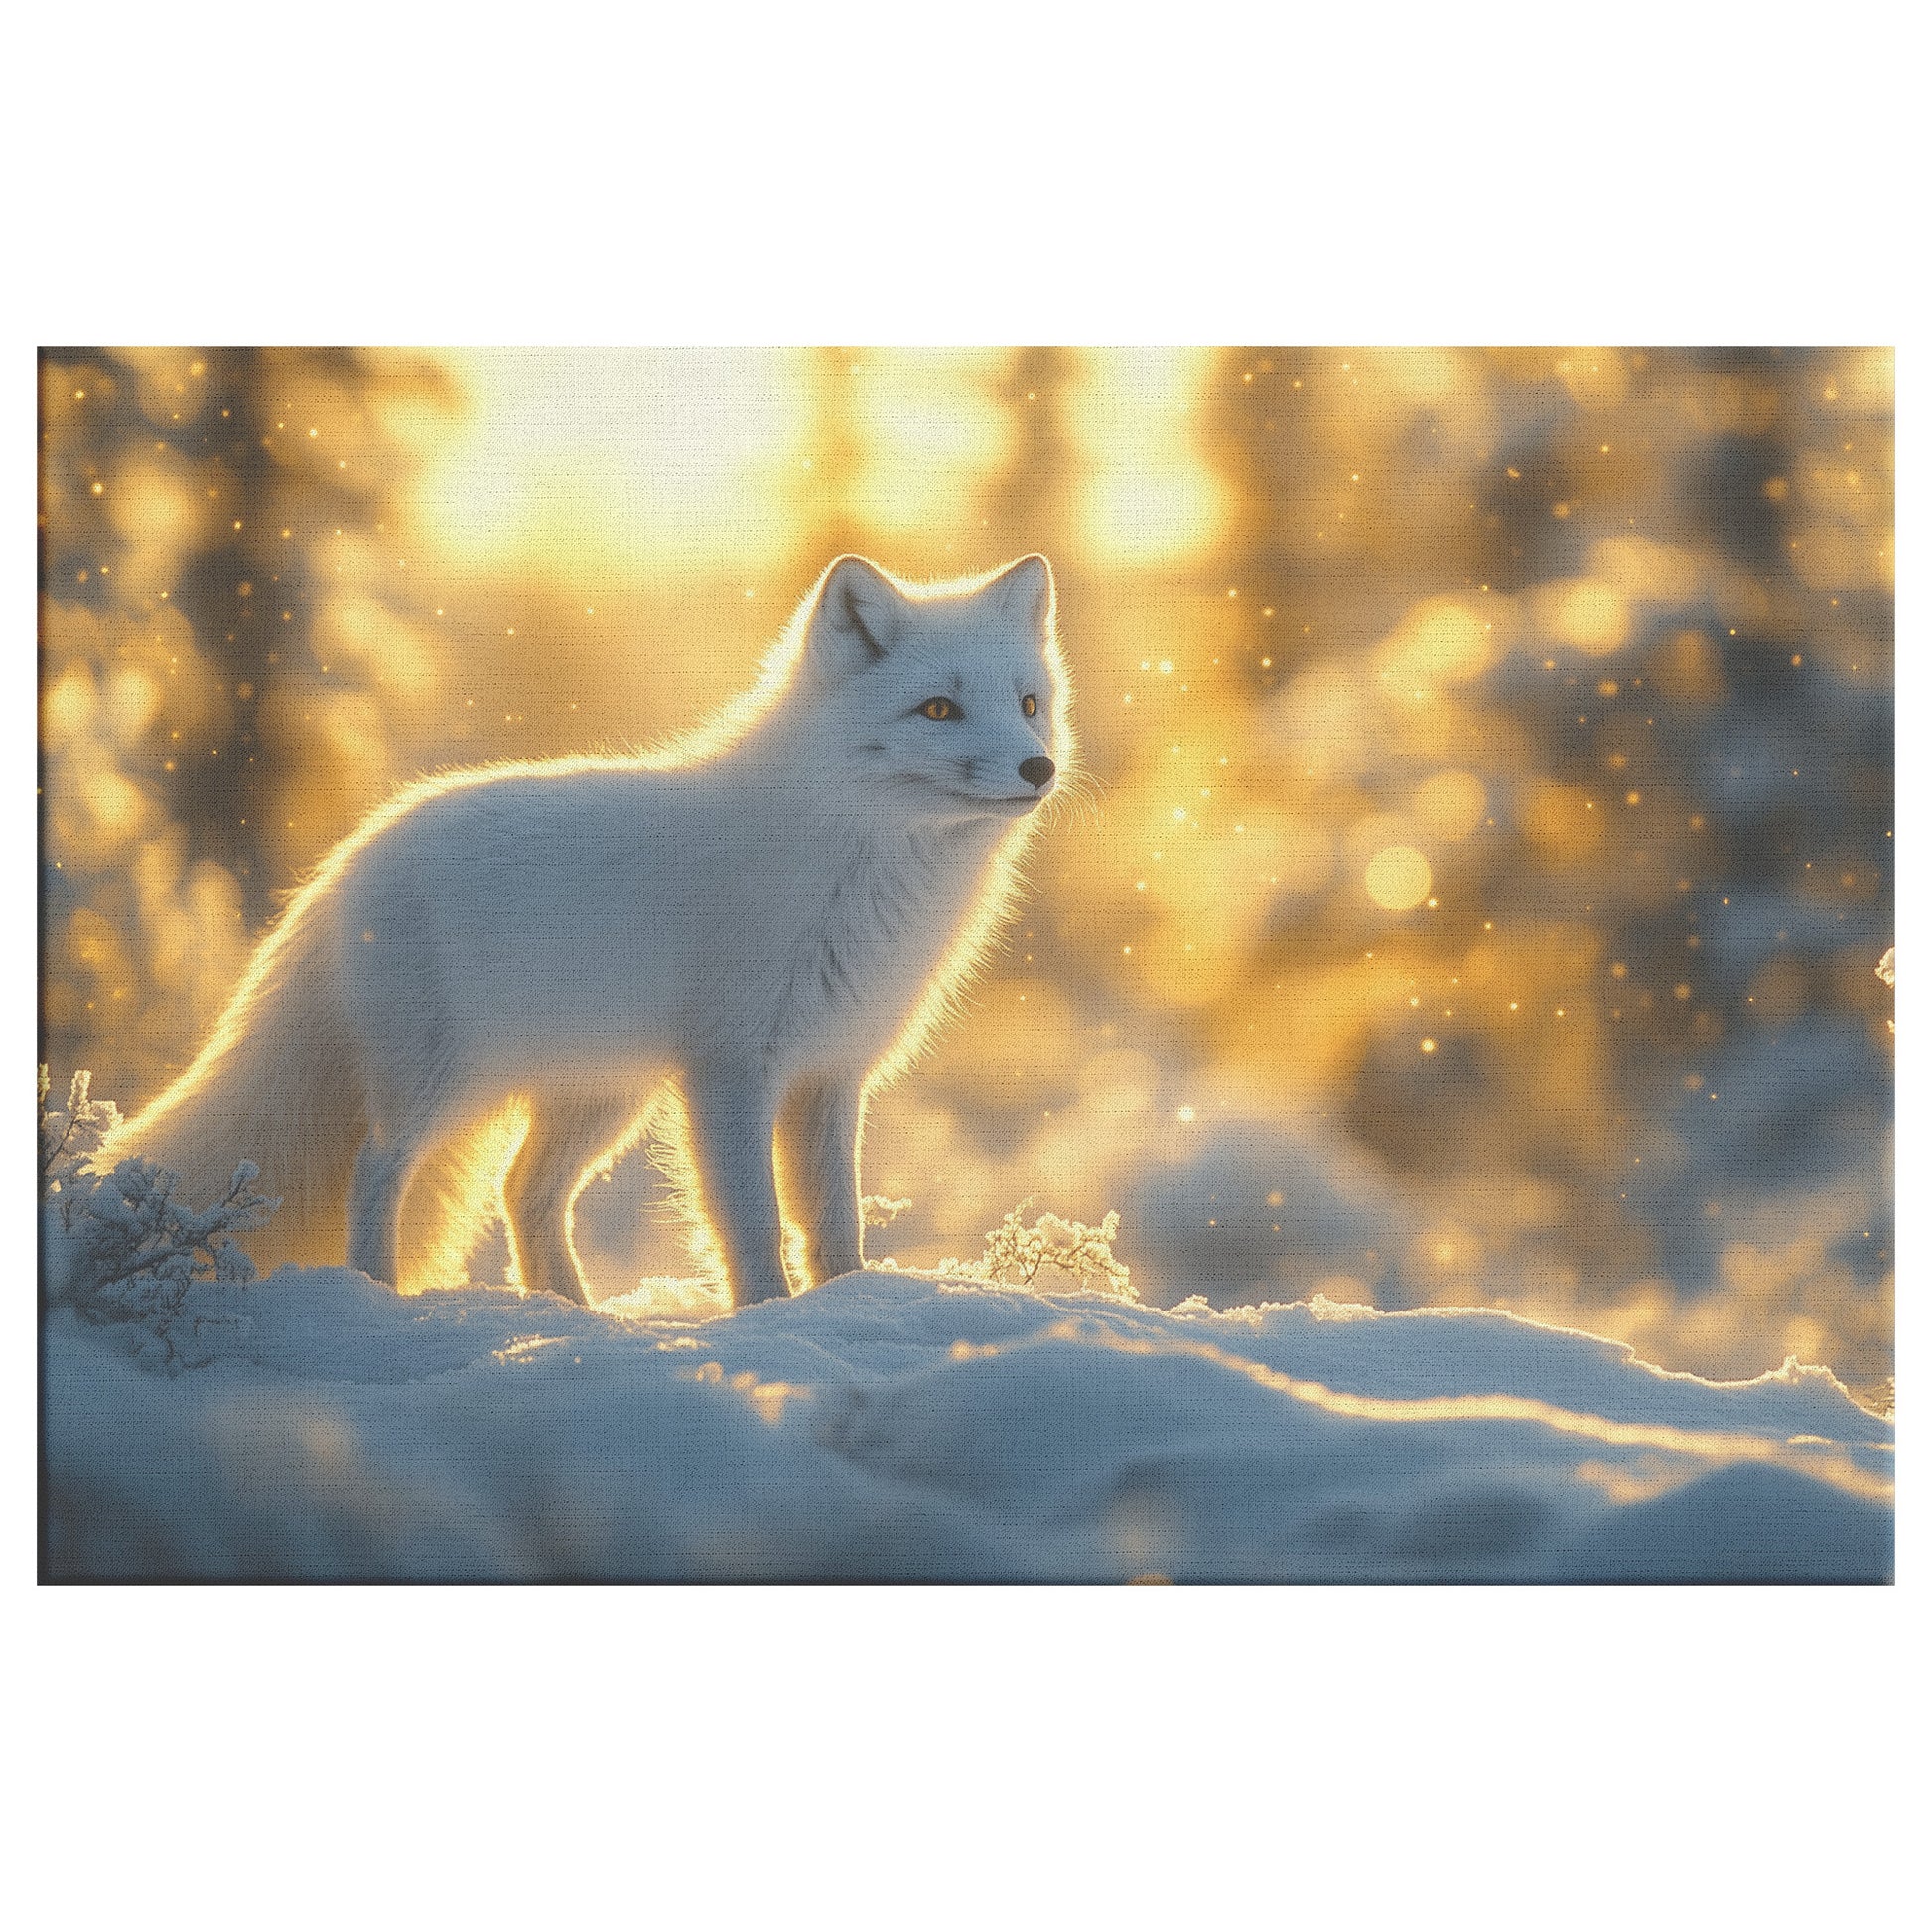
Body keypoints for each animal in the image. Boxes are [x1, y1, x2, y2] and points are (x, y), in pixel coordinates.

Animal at [103, 553, 1072, 1309]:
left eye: (1027, 703)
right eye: (939, 709)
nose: (1040, 768)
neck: (860, 864)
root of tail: (347, 859)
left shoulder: (831, 1071)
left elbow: (834, 1224)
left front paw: (844, 1312)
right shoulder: (731, 1068)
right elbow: (753, 1223)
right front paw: (767, 1314)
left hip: (601, 1096)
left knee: (522, 1190)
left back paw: (571, 1312)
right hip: (441, 1086)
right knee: (376, 1173)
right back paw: (379, 1294)